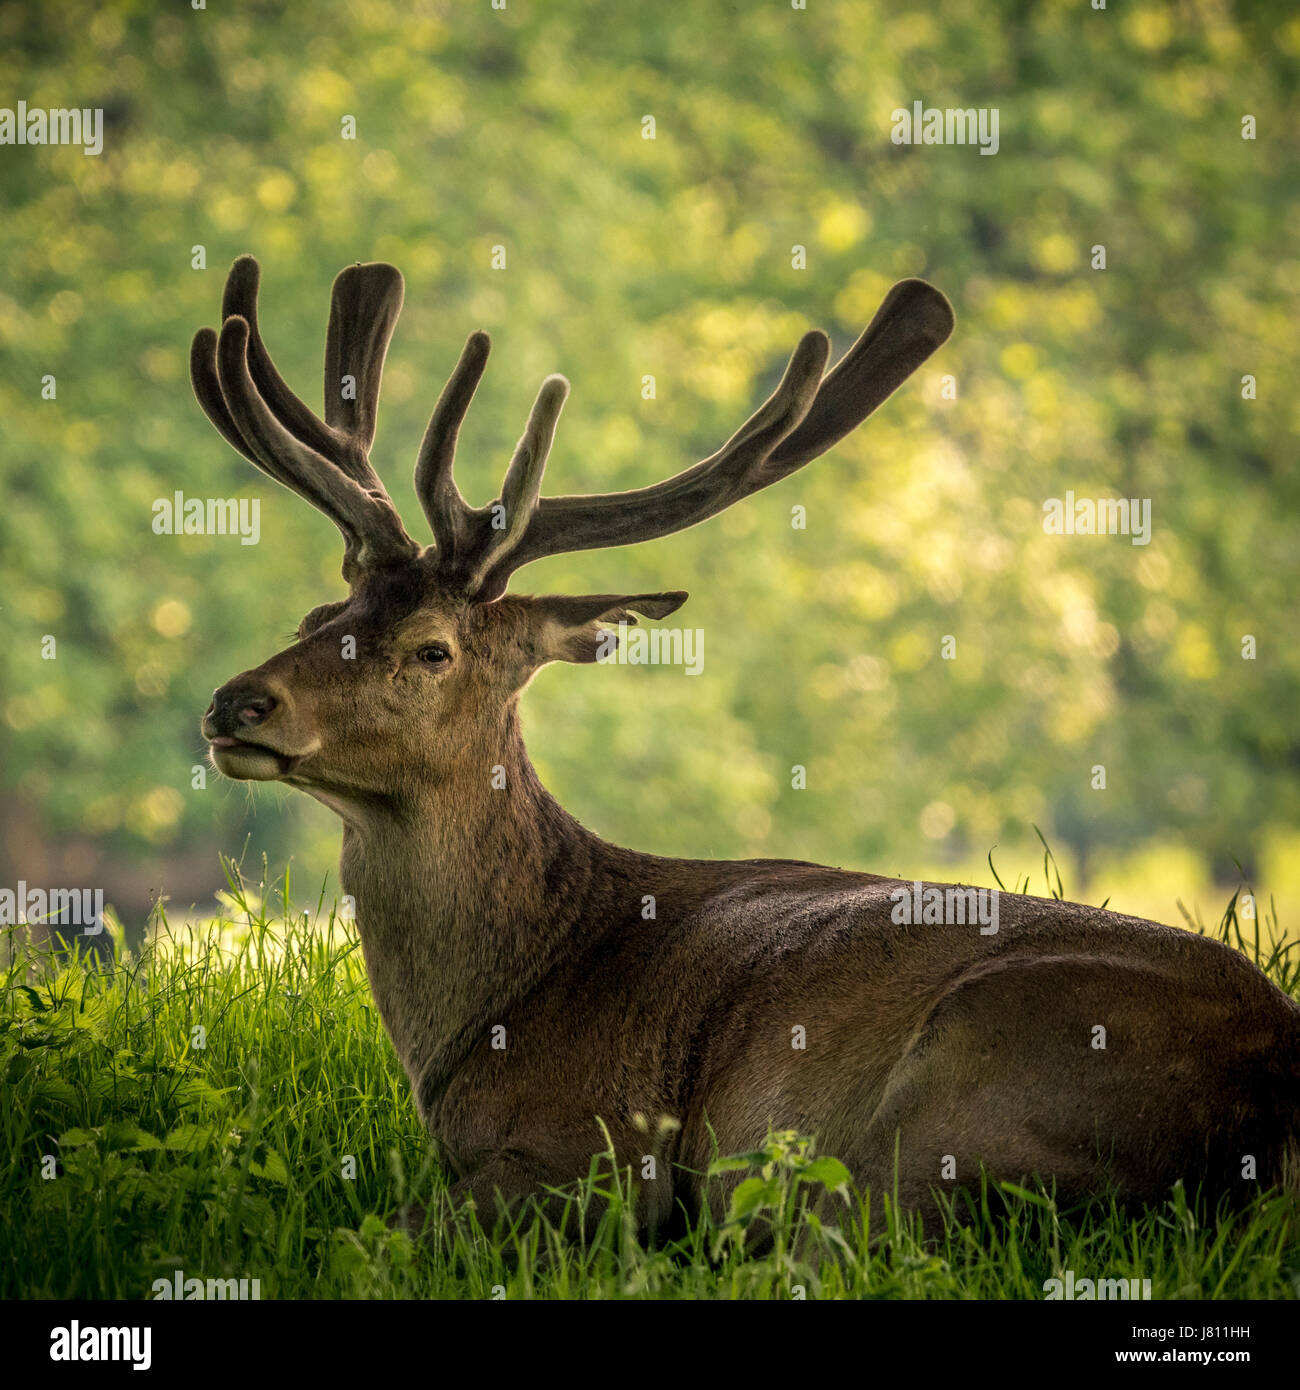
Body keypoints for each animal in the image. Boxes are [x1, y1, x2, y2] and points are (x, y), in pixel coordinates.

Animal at [191, 254, 1300, 1239]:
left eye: (431, 648)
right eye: (318, 613)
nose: (236, 701)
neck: (490, 1016)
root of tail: (1269, 1124)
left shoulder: (595, 1150)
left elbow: (367, 1233)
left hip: (961, 1082)